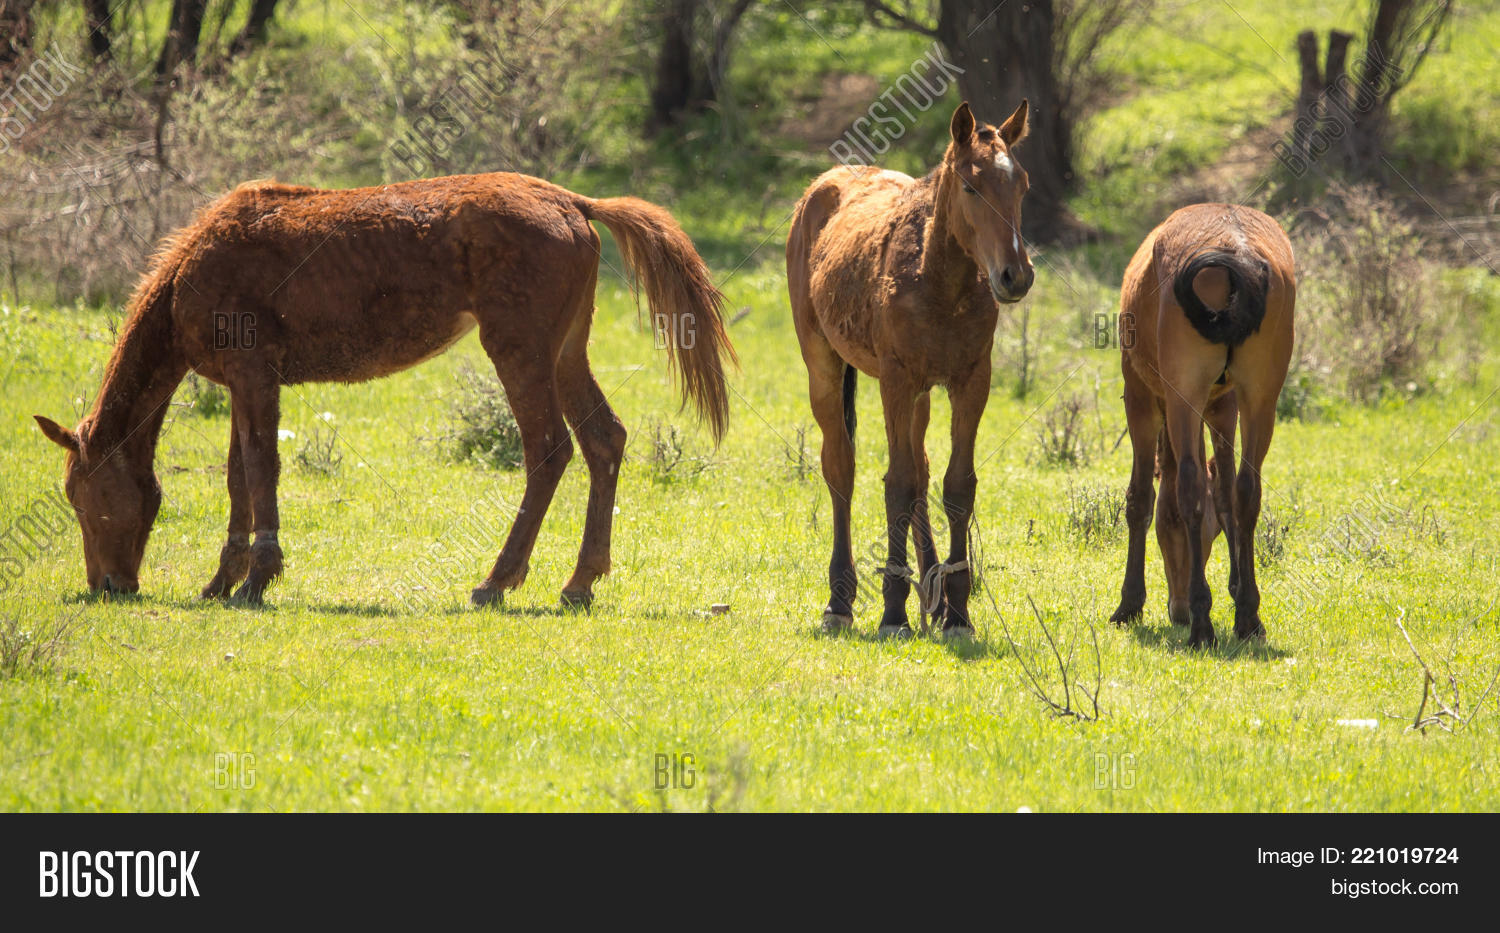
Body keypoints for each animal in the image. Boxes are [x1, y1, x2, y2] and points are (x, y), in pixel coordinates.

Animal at [34, 172, 736, 608]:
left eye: (80, 494)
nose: (108, 584)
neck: (193, 271)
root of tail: (575, 204)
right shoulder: (241, 383)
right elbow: (238, 478)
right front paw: (222, 581)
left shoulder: (254, 374)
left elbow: (260, 470)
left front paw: (259, 577)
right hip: (565, 351)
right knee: (603, 440)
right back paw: (579, 582)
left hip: (520, 348)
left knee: (548, 450)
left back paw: (497, 580)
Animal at [786, 100, 1034, 639]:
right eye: (971, 186)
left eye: (1022, 185)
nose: (1016, 275)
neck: (938, 279)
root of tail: (822, 185)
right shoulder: (896, 381)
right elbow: (897, 485)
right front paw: (894, 612)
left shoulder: (970, 382)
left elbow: (955, 486)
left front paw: (958, 611)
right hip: (823, 366)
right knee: (841, 468)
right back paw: (840, 601)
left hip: (922, 395)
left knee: (920, 470)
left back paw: (934, 594)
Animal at [1107, 203, 1295, 647]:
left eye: (1169, 528)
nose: (1175, 607)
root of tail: (1237, 256)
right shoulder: (1223, 406)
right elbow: (1225, 497)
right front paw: (1237, 589)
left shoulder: (1140, 397)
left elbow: (1140, 498)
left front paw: (1129, 604)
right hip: (1261, 396)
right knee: (1248, 490)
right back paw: (1248, 616)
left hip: (1183, 392)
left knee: (1190, 484)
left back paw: (1200, 622)